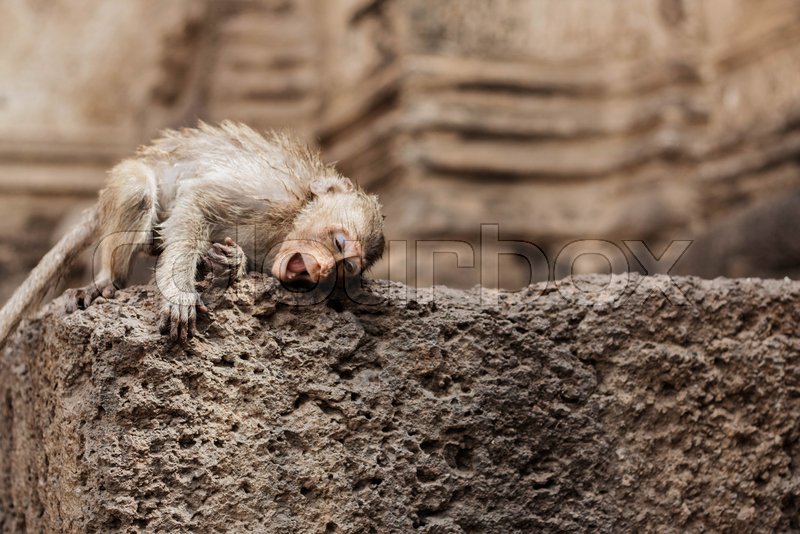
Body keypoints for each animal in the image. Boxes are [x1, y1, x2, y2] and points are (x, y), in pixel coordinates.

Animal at [0, 121, 385, 346]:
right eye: (337, 242)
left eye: (345, 268)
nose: (320, 268)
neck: (291, 218)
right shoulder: (268, 196)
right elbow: (197, 201)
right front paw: (180, 292)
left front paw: (231, 262)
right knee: (139, 191)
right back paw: (111, 278)